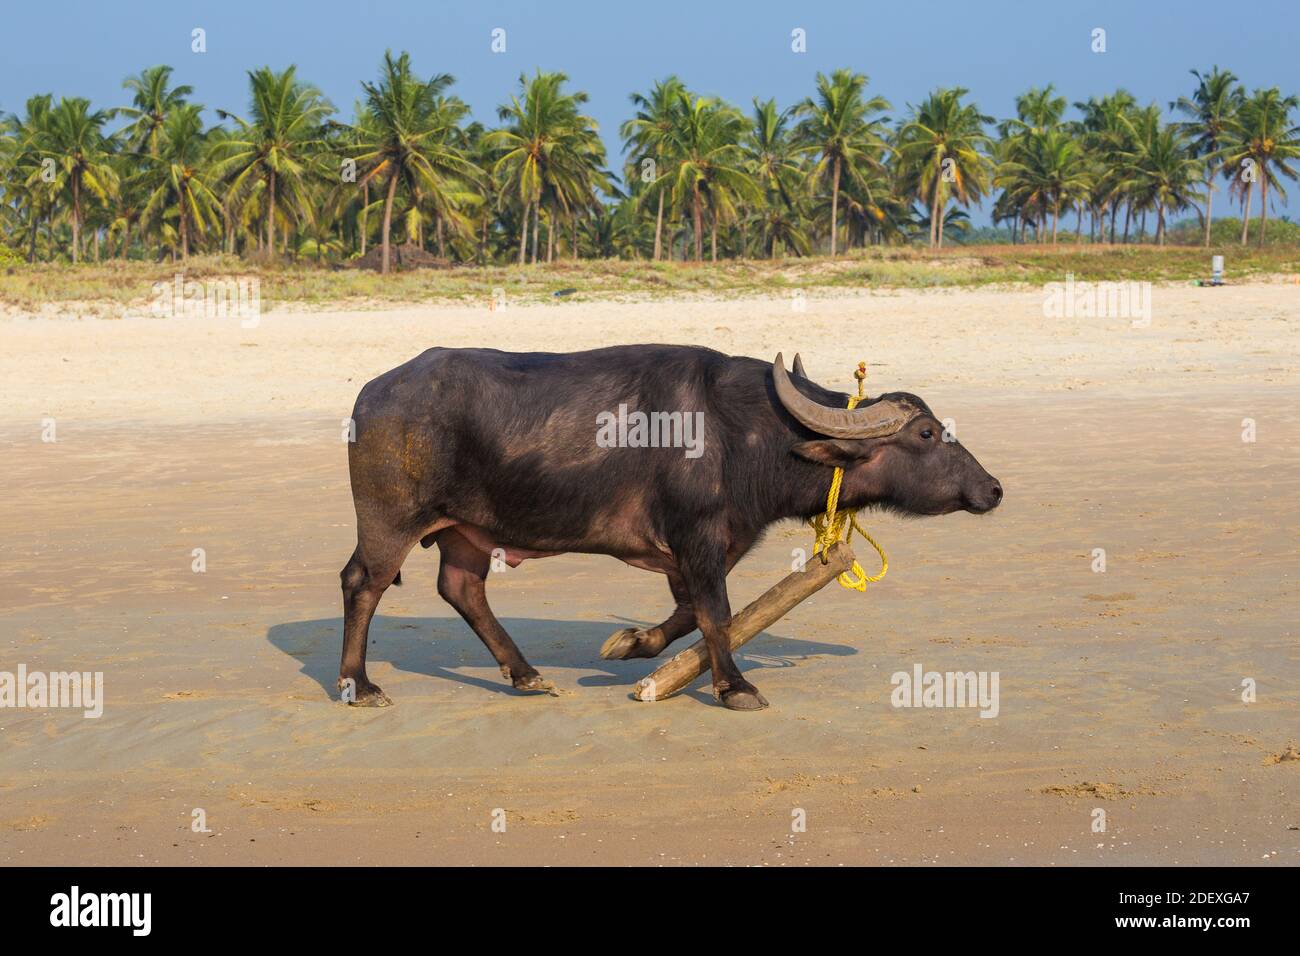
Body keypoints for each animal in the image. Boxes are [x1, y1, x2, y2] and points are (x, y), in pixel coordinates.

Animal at [340, 345, 1001, 710]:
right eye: (925, 433)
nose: (993, 489)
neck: (747, 434)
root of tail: (371, 395)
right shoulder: (699, 538)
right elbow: (717, 614)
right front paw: (735, 687)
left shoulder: (701, 549)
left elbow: (692, 614)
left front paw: (633, 644)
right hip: (389, 521)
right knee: (362, 583)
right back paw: (358, 684)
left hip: (466, 532)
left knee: (462, 589)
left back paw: (526, 675)